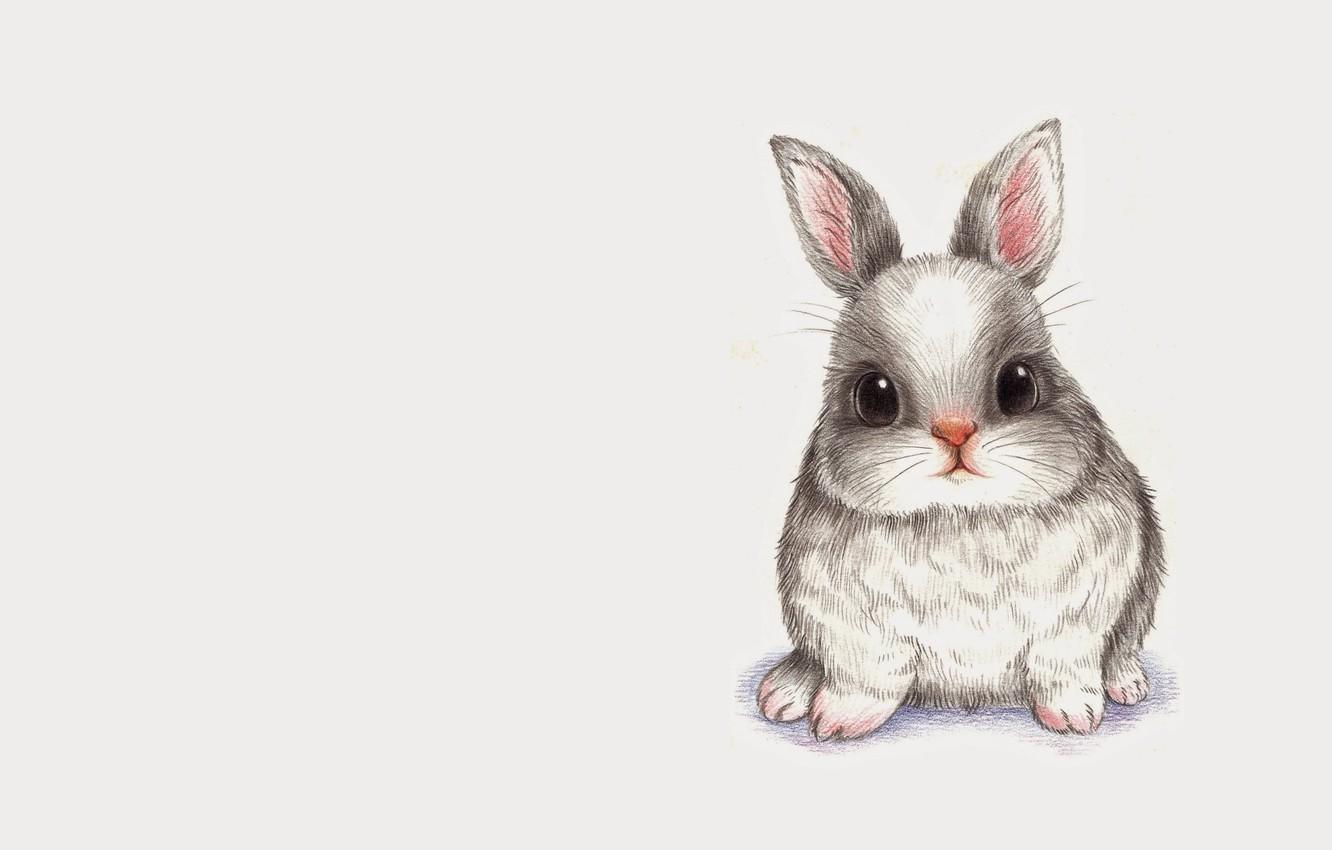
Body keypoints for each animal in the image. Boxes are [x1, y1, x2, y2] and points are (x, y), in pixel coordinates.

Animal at [757, 119, 1164, 740]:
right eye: (873, 396)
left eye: (1019, 384)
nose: (955, 433)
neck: (961, 515)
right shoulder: (848, 624)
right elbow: (866, 677)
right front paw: (839, 722)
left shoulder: (1078, 618)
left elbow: (1061, 667)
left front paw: (1072, 717)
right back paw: (785, 691)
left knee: (1118, 649)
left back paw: (1126, 683)